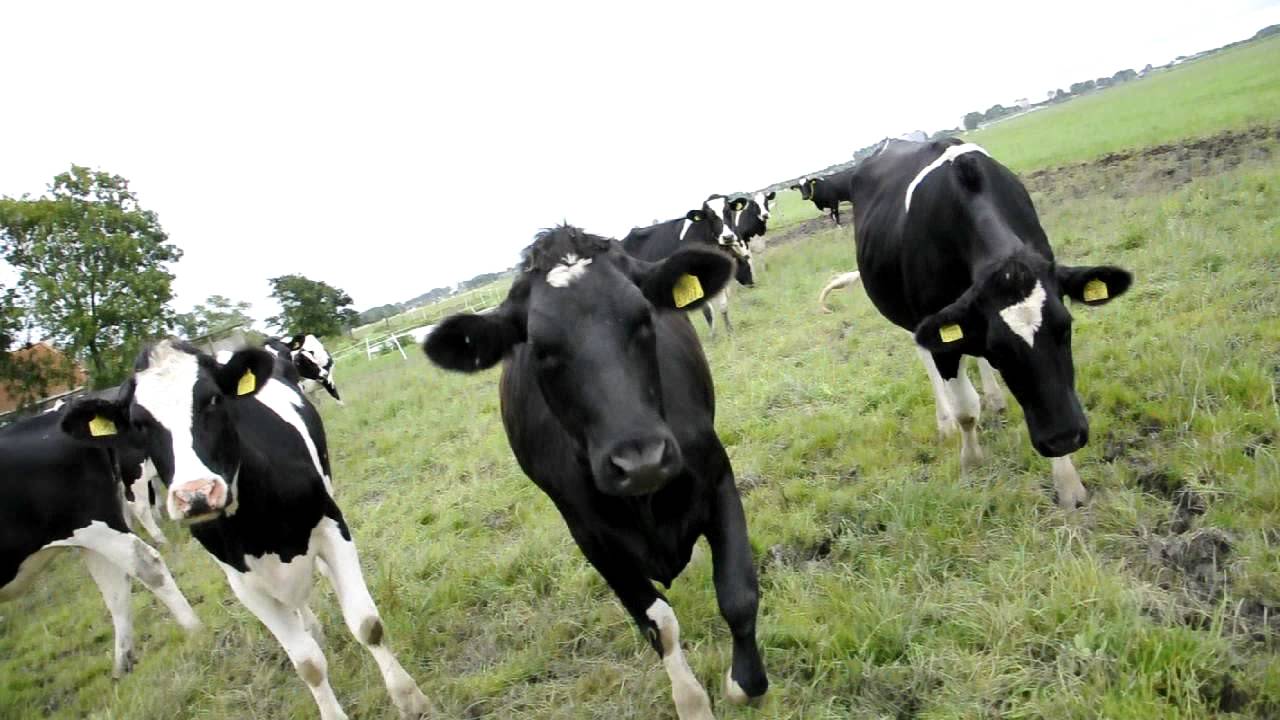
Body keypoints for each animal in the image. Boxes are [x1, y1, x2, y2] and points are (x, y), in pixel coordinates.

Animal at [0, 409, 200, 679]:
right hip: (91, 537)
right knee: (116, 586)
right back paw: (122, 666)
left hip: (94, 521)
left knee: (143, 558)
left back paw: (194, 629)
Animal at [61, 339, 429, 719]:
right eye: (138, 422)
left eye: (212, 399)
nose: (196, 494)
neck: (257, 522)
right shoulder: (243, 583)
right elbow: (308, 663)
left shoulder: (331, 527)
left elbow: (367, 624)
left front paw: (409, 699)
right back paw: (311, 626)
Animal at [424, 226, 769, 719]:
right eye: (541, 349)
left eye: (644, 319)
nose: (641, 461)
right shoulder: (592, 538)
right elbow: (658, 624)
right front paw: (691, 702)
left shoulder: (718, 477)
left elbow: (738, 593)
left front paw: (743, 685)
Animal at [623, 195, 754, 337]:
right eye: (710, 216)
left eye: (728, 211)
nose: (728, 237)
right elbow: (707, 310)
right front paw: (713, 335)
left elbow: (723, 305)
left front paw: (730, 332)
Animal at [847, 139, 1132, 508]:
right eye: (1001, 349)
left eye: (1065, 327)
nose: (1064, 438)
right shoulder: (941, 333)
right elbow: (966, 409)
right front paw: (971, 461)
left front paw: (1069, 484)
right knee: (928, 359)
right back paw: (945, 423)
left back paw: (995, 399)